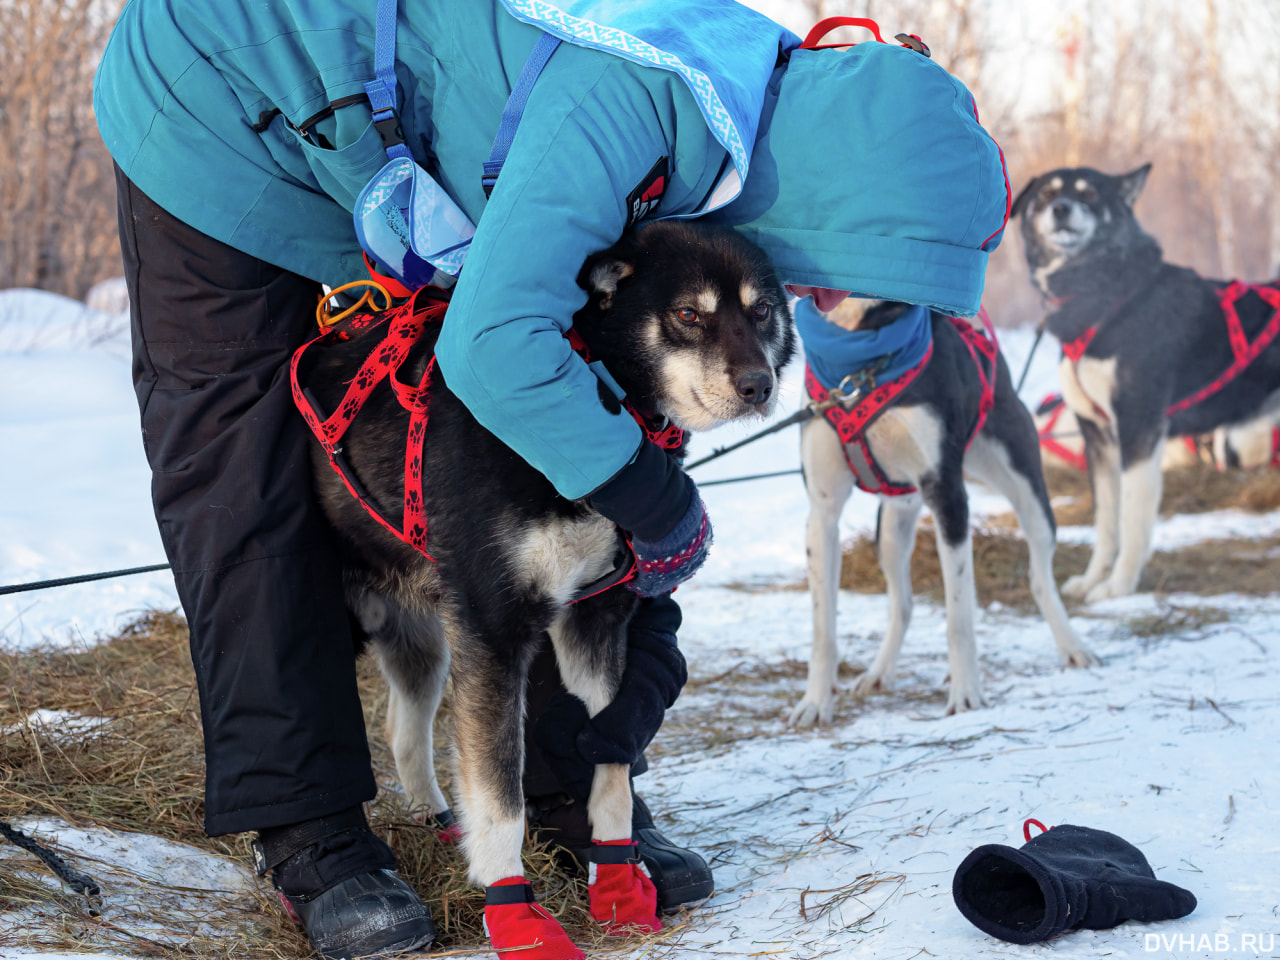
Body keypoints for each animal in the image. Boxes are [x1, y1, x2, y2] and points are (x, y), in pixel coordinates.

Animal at [293, 225, 788, 947]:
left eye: (761, 311)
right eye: (687, 314)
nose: (759, 384)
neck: (585, 400)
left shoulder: (594, 623)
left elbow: (611, 764)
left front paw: (617, 880)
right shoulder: (495, 632)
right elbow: (502, 796)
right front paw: (514, 912)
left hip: (423, 645)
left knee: (406, 736)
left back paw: (441, 826)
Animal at [1013, 165, 1274, 601]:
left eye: (1089, 194)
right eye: (1047, 193)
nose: (1061, 208)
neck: (1108, 301)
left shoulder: (1139, 427)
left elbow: (1133, 517)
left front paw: (1117, 588)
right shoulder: (1097, 437)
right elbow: (1106, 522)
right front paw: (1093, 579)